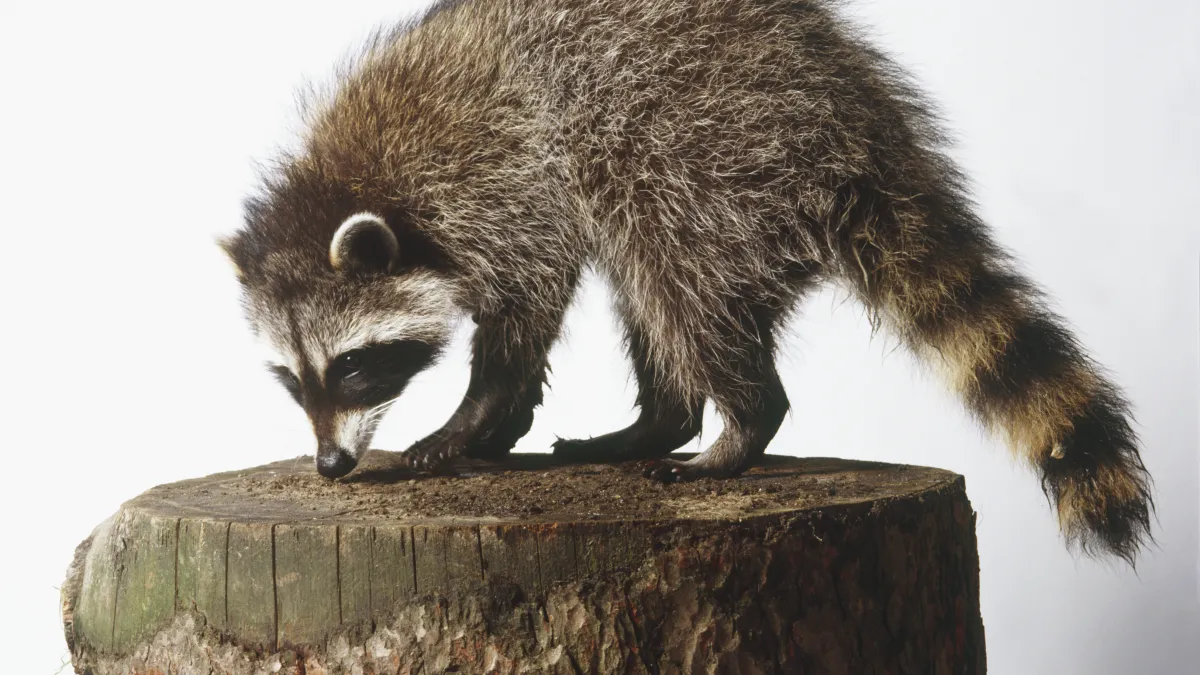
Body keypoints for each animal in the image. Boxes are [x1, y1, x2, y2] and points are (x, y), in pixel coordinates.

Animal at [221, 0, 1153, 562]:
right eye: (291, 379)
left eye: (351, 365)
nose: (331, 464)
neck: (351, 181)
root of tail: (868, 139)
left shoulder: (508, 176)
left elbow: (527, 306)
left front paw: (474, 418)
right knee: (656, 297)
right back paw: (660, 420)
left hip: (712, 158)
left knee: (675, 278)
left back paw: (741, 425)